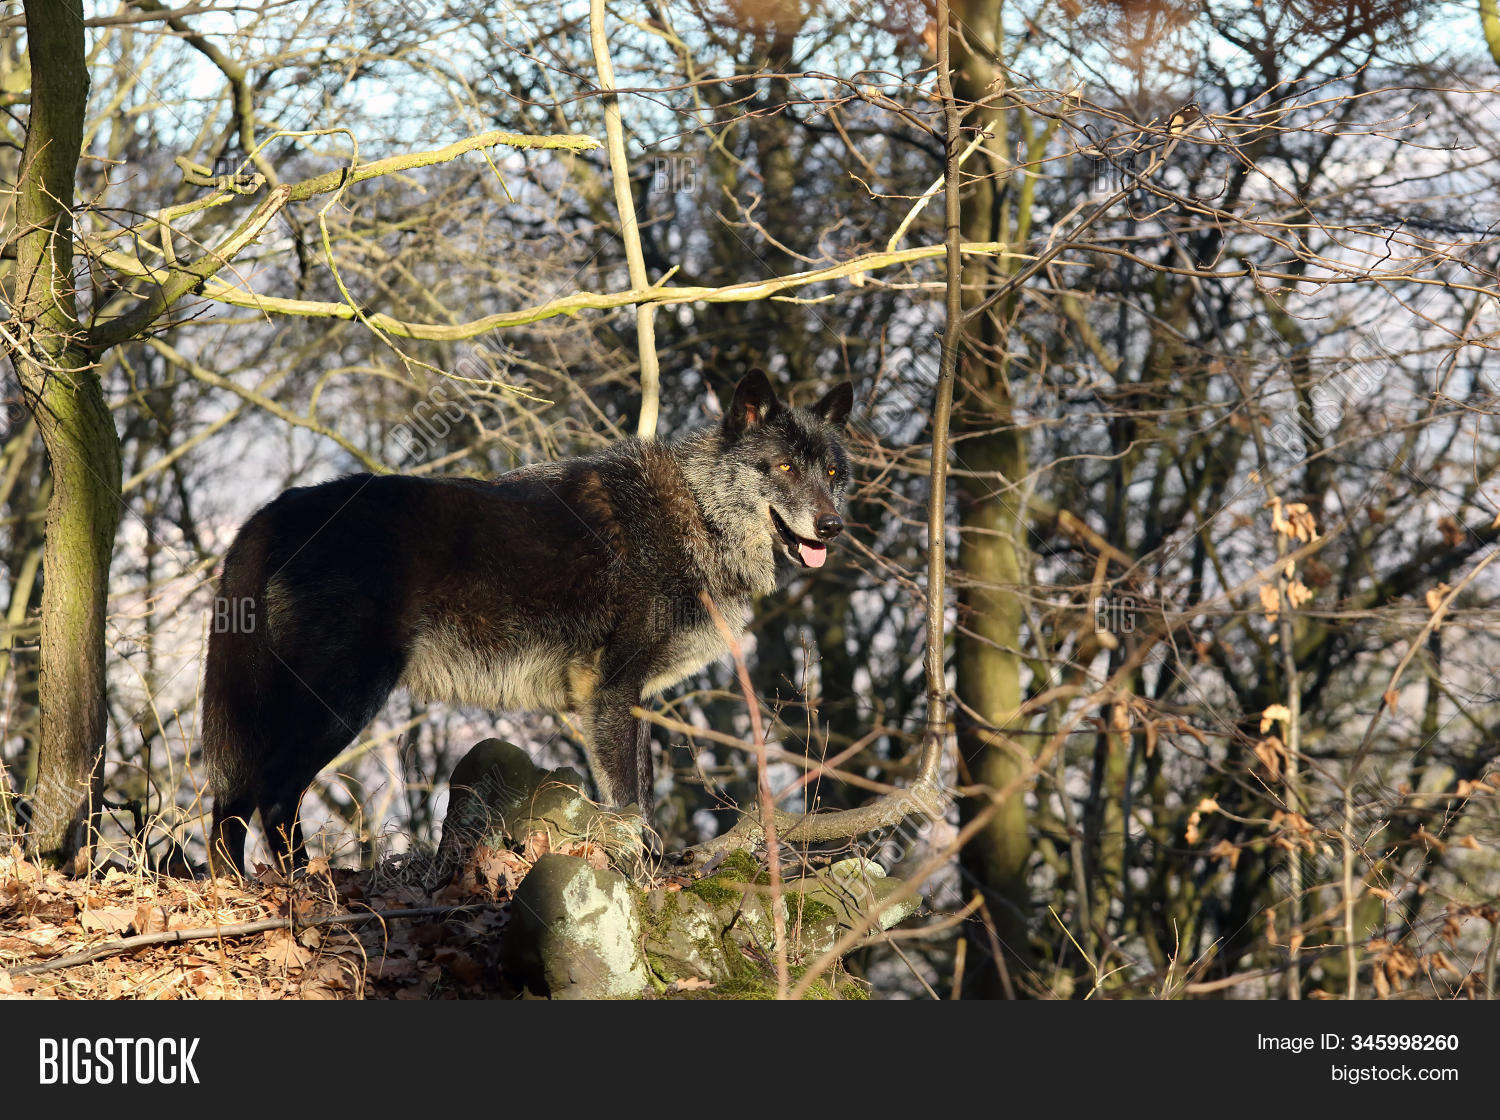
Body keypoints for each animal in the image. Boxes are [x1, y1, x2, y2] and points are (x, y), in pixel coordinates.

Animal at [203, 370, 853, 874]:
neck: (693, 512)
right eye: (784, 466)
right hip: (344, 700)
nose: (833, 526)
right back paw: (309, 889)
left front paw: (657, 862)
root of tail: (274, 510)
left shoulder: (630, 699)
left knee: (231, 800)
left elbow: (640, 791)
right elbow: (628, 798)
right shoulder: (609, 691)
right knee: (274, 793)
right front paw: (646, 871)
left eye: (832, 475)